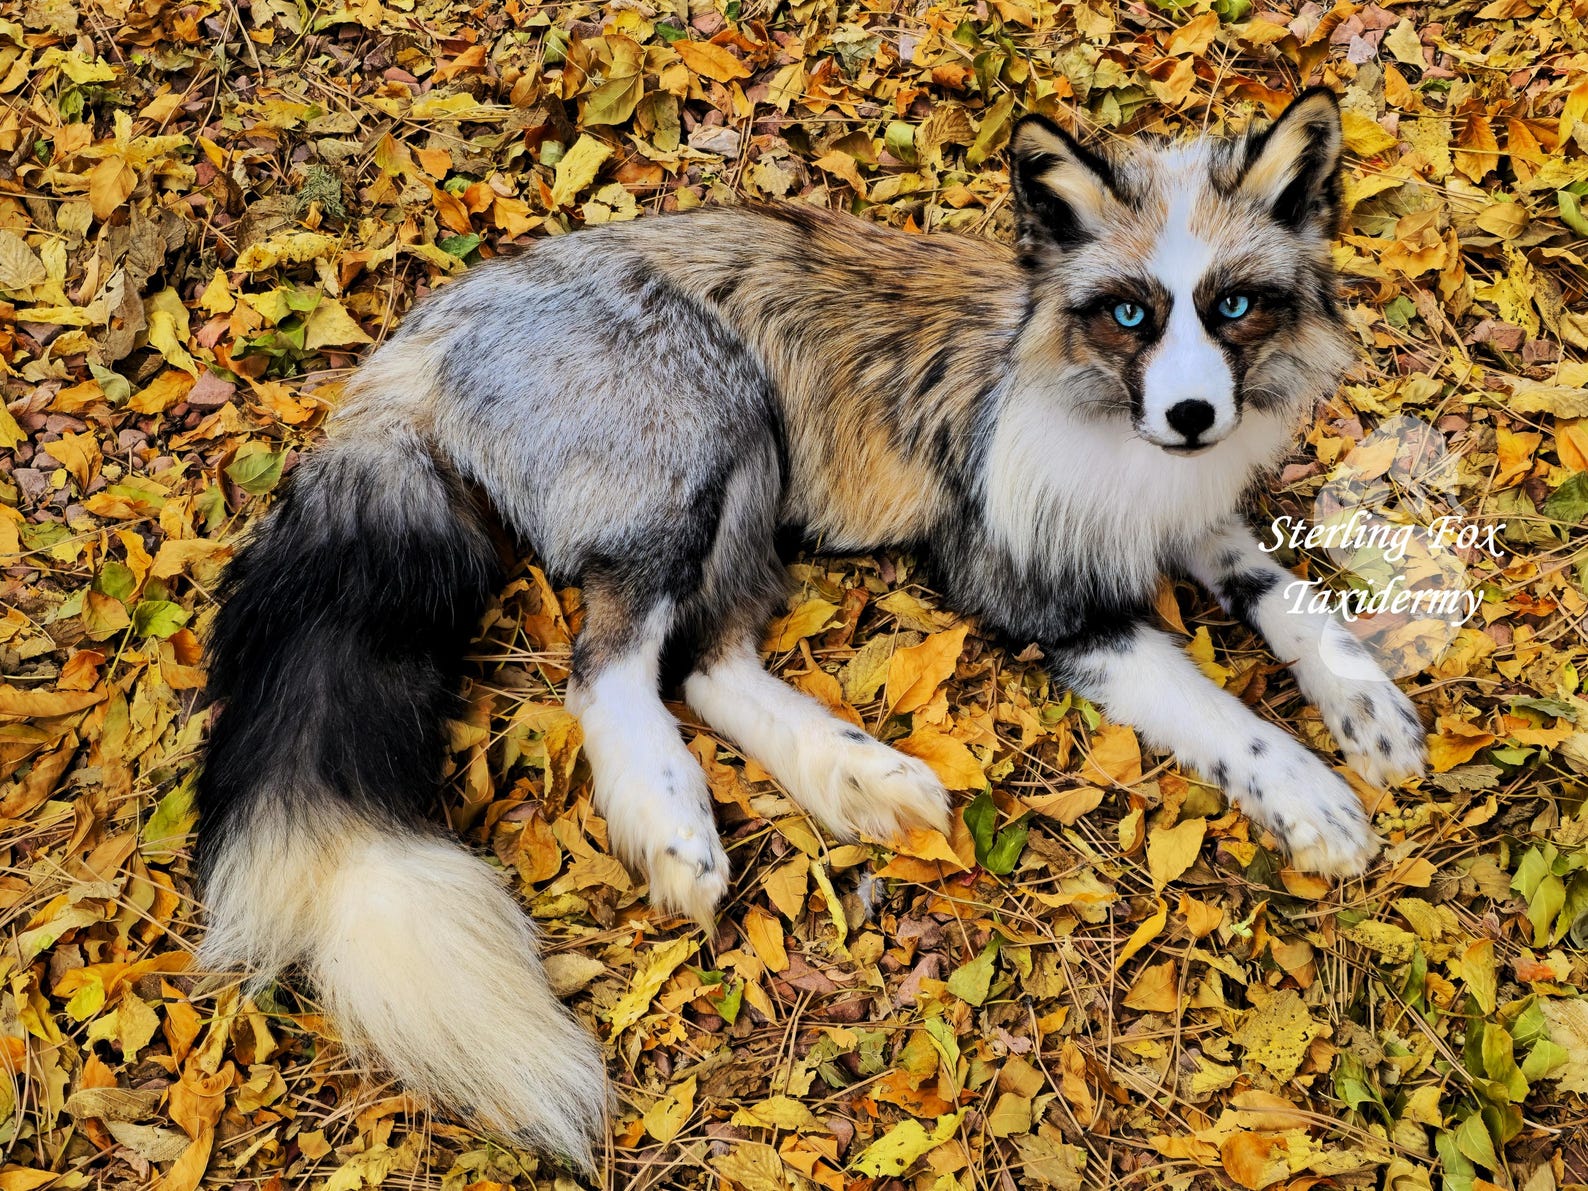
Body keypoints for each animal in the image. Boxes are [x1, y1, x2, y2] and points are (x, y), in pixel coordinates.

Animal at [195, 87, 1427, 1169]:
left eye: (1233, 306)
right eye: (1131, 312)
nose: (1191, 415)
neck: (1096, 418)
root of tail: (429, 328)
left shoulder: (1189, 518)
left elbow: (1292, 601)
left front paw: (1368, 713)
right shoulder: (1032, 589)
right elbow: (1221, 712)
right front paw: (1315, 797)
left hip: (755, 475)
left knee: (704, 662)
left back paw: (857, 776)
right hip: (716, 417)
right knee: (613, 667)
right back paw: (675, 823)